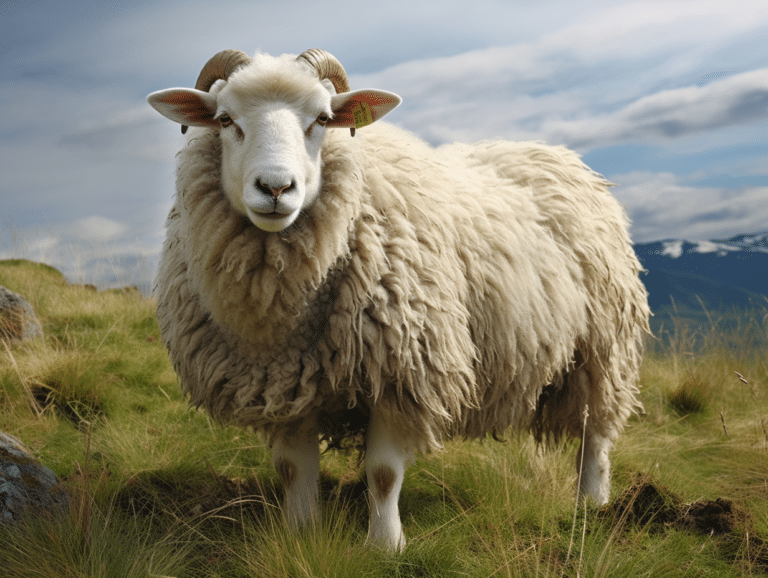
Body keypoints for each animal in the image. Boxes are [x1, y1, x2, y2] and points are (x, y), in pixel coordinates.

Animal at [147, 48, 650, 551]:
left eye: (323, 119)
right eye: (225, 119)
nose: (275, 188)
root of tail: (562, 156)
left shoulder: (403, 369)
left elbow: (384, 472)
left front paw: (385, 546)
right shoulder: (284, 384)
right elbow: (292, 471)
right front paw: (301, 537)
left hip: (602, 350)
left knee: (596, 435)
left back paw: (592, 505)